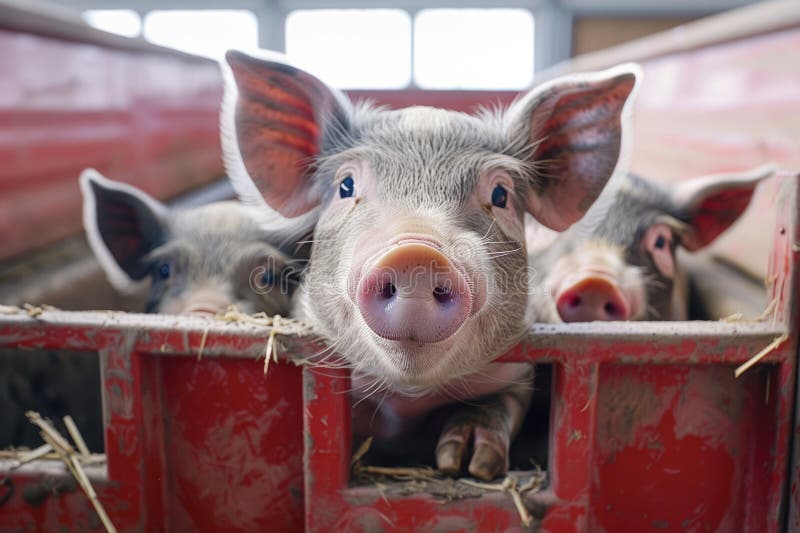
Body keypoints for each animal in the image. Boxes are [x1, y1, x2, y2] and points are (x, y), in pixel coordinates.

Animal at [221, 50, 639, 479]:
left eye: (500, 195)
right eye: (346, 187)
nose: (416, 255)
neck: (409, 401)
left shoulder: (518, 371)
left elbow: (497, 407)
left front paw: (468, 463)